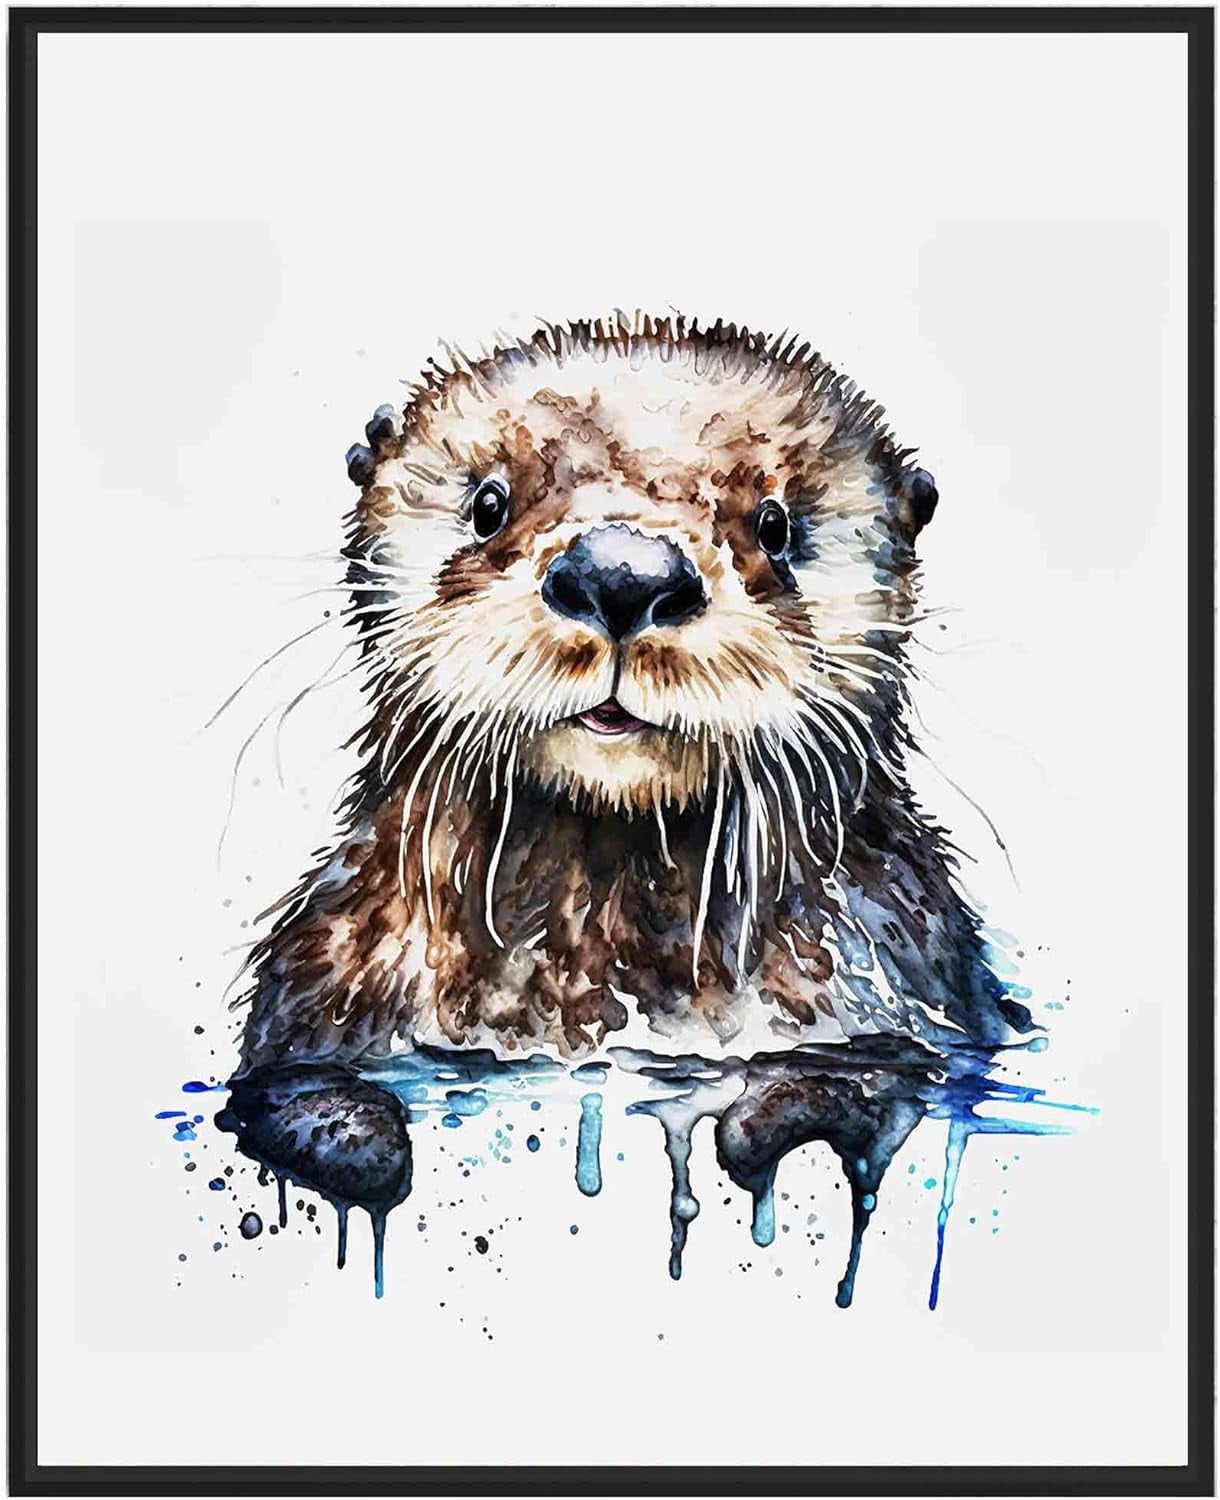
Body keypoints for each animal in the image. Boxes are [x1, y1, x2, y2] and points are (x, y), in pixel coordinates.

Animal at [218, 312, 1033, 1300]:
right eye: (489, 504)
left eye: (775, 524)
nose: (621, 573)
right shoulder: (318, 983)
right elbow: (280, 1098)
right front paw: (360, 1141)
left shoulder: (913, 980)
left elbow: (879, 1079)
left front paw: (765, 1114)